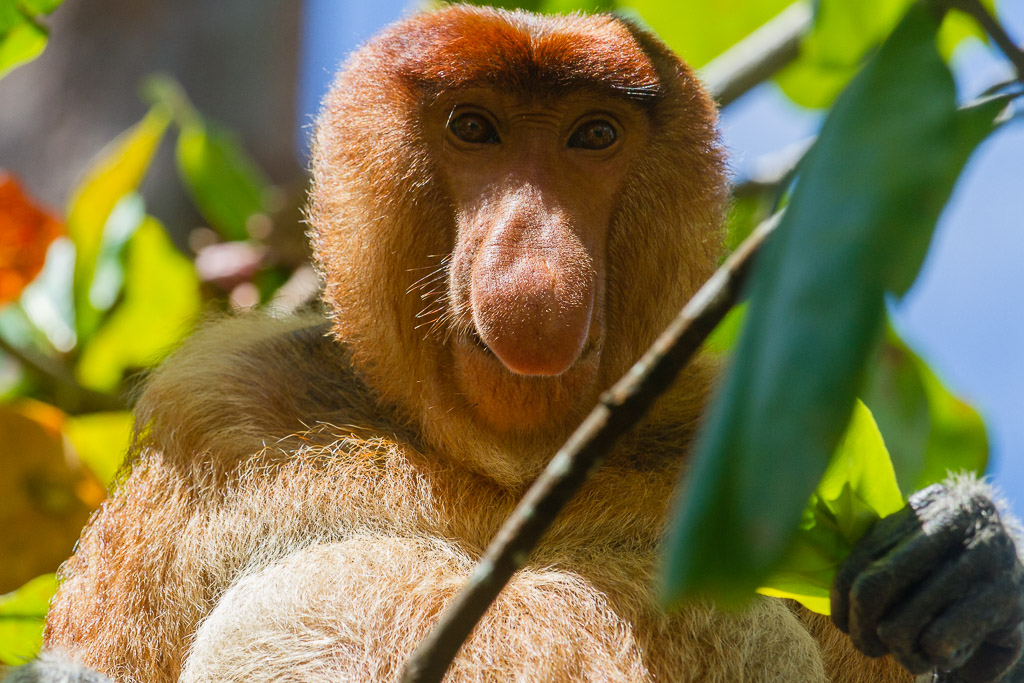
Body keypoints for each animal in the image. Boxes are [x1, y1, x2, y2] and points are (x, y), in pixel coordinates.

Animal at [4, 5, 1022, 682]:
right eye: (475, 128)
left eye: (593, 135)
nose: (532, 260)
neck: (514, 472)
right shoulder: (218, 416)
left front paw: (967, 566)